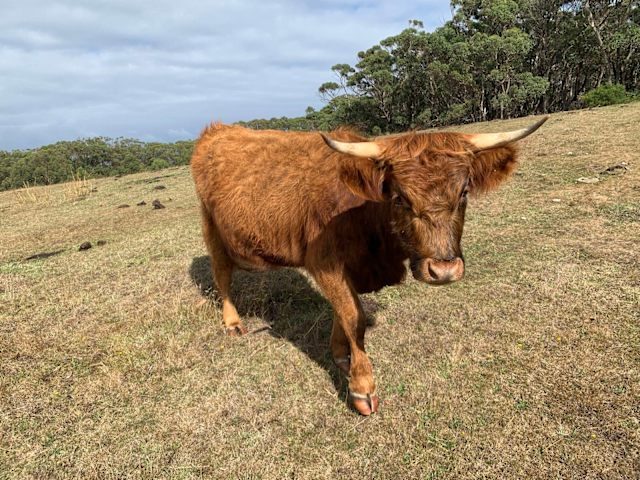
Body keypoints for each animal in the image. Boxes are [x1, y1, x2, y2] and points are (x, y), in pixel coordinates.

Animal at [190, 117, 547, 415]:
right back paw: (232, 322)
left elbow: (343, 311)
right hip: (211, 228)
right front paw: (362, 386)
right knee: (222, 274)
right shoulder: (325, 263)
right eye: (400, 197)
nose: (443, 270)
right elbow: (353, 316)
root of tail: (219, 129)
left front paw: (341, 354)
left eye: (464, 192)